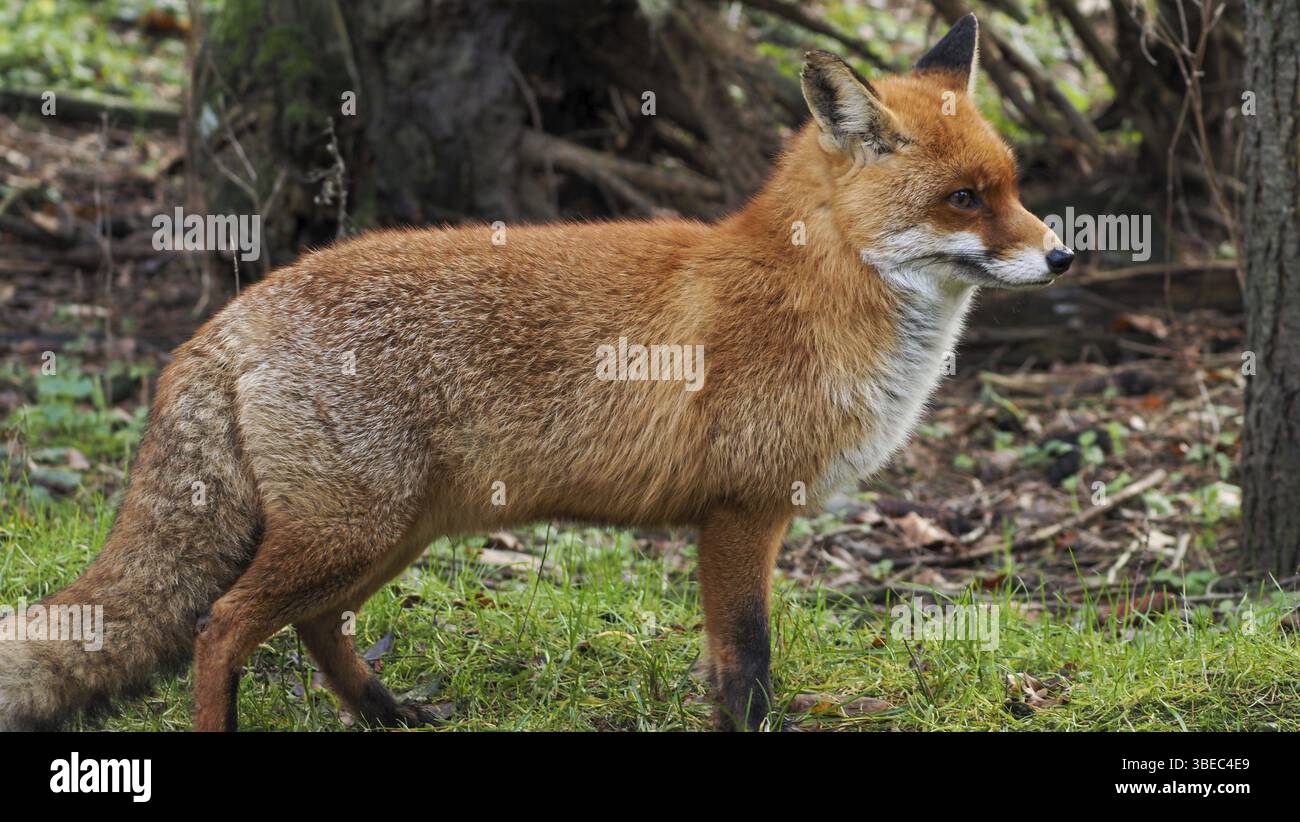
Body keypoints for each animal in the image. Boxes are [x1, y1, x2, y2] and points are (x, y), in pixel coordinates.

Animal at [0, 14, 1072, 732]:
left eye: (1014, 188)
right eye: (964, 199)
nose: (1063, 256)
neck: (817, 290)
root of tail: (228, 318)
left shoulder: (742, 519)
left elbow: (738, 668)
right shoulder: (741, 513)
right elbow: (746, 672)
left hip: (390, 534)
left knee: (312, 628)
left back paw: (386, 712)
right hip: (356, 531)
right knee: (220, 625)